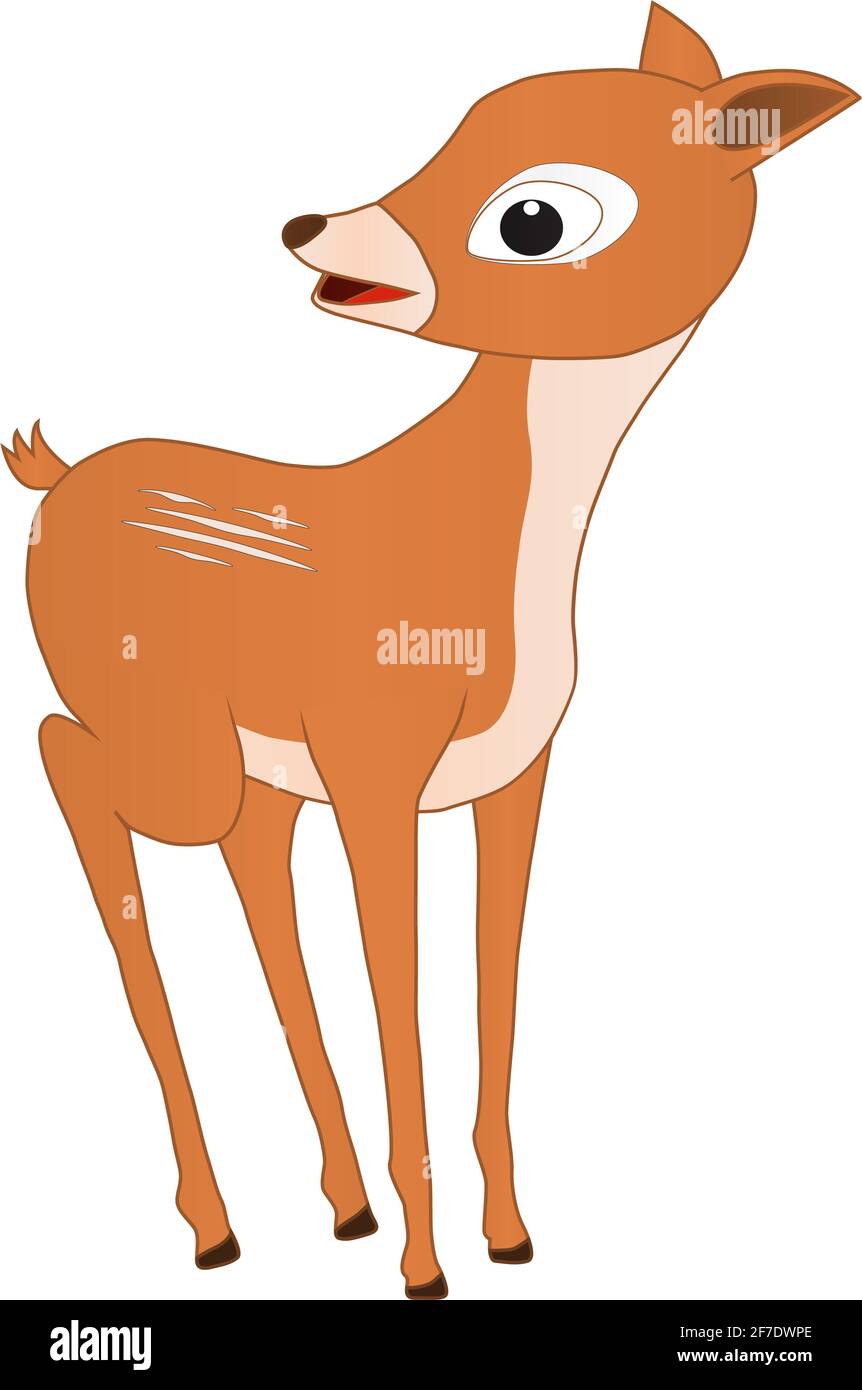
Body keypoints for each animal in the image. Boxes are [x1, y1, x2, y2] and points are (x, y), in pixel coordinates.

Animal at [3, 4, 856, 1300]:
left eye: (533, 217)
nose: (307, 227)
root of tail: (56, 479)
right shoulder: (376, 784)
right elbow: (398, 1003)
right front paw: (426, 1264)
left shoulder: (509, 780)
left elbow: (490, 996)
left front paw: (507, 1234)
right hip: (180, 765)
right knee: (68, 762)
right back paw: (215, 1227)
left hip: (257, 778)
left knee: (248, 864)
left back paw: (336, 1206)